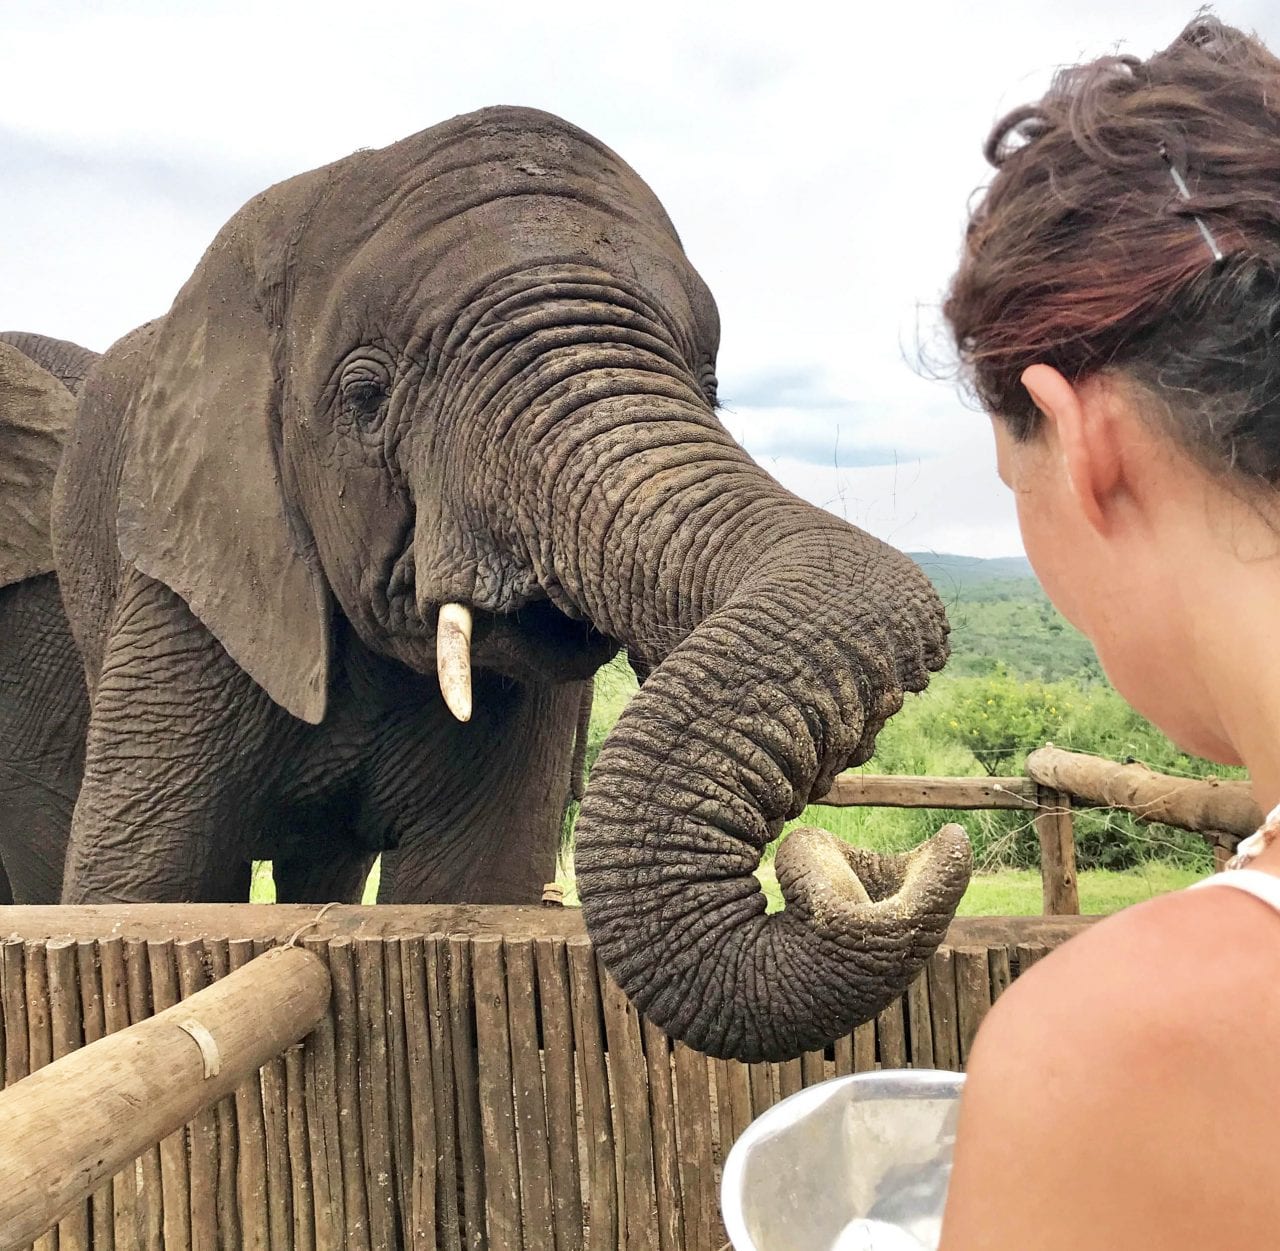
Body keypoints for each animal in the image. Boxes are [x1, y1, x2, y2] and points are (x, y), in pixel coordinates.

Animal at [40, 105, 969, 1060]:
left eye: (708, 383)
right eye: (366, 393)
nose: (879, 866)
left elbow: (467, 885)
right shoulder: (189, 578)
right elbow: (135, 880)